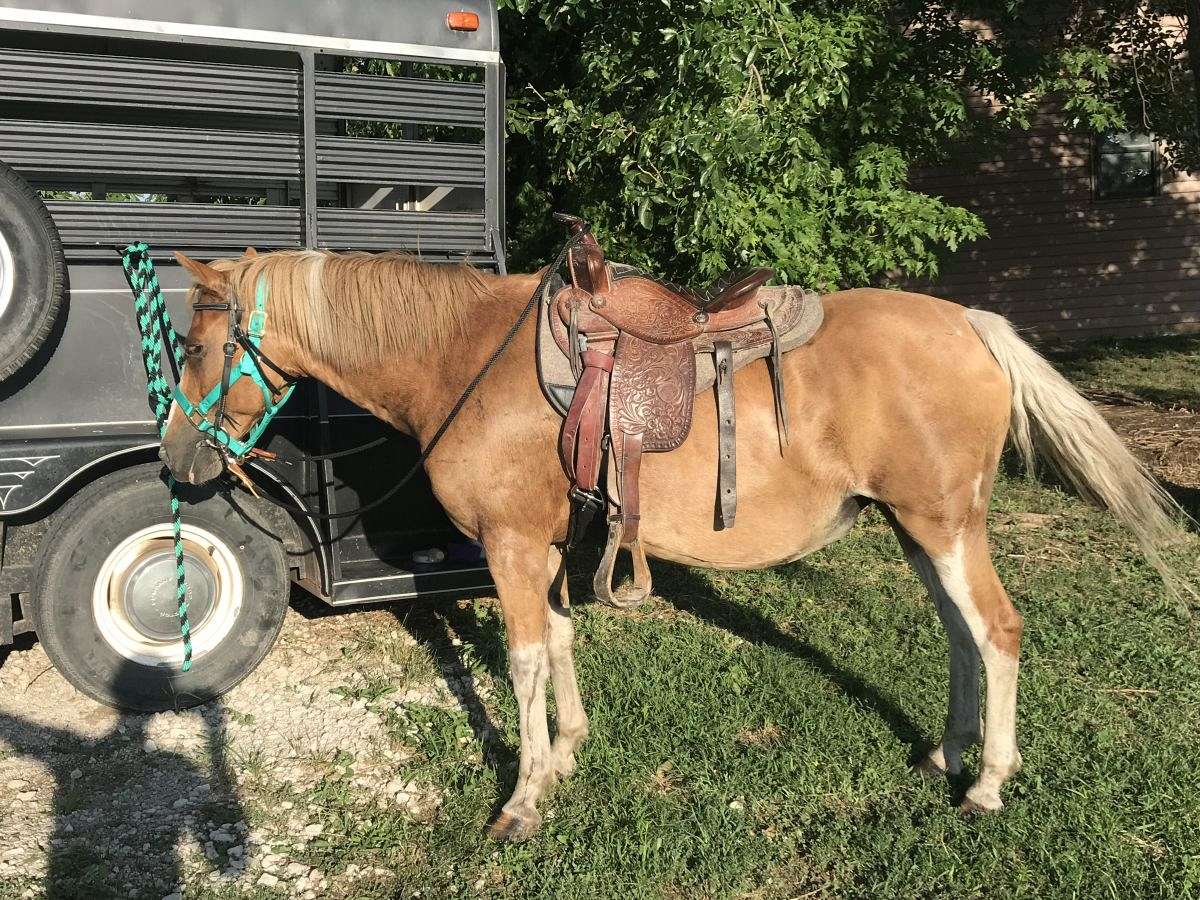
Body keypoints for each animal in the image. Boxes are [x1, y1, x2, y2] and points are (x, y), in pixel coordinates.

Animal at [162, 247, 1184, 841]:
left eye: (197, 349)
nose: (178, 457)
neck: (462, 356)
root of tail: (969, 324)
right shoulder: (547, 547)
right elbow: (560, 644)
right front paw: (566, 753)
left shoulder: (510, 547)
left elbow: (523, 661)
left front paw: (523, 797)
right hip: (916, 527)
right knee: (960, 636)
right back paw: (947, 755)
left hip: (944, 523)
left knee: (996, 632)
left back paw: (988, 783)